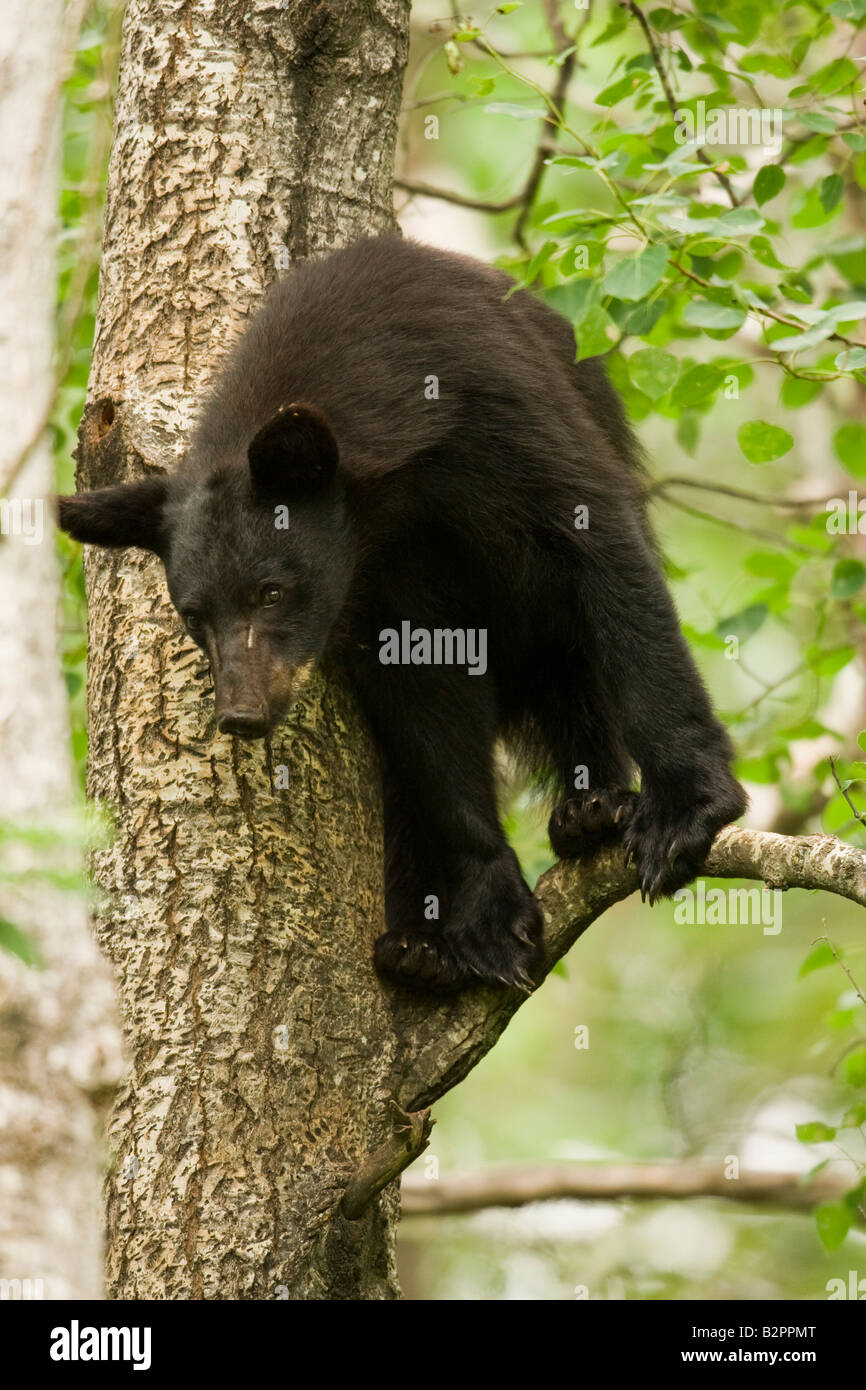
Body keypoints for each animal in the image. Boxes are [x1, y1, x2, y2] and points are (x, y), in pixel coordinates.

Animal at [58, 236, 747, 993]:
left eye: (271, 591)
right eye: (193, 614)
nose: (241, 713)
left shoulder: (505, 411)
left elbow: (607, 562)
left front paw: (683, 812)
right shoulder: (387, 586)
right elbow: (425, 703)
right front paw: (488, 914)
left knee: (577, 678)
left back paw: (591, 808)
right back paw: (417, 948)